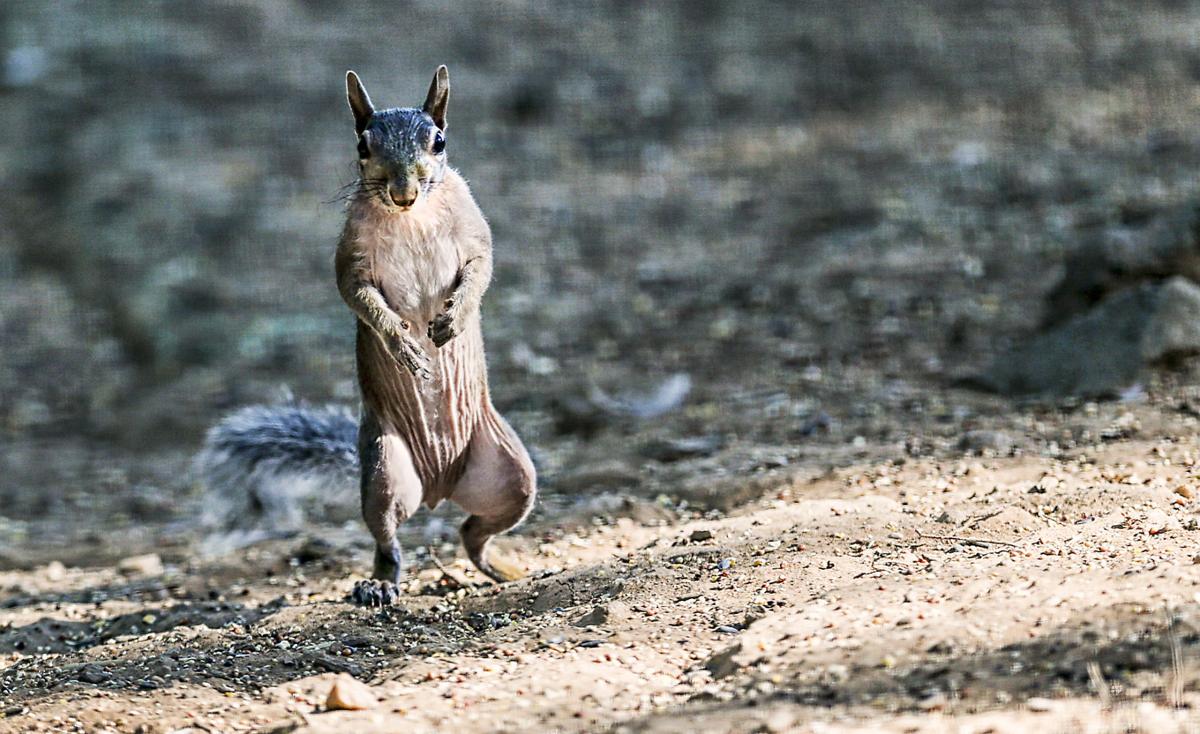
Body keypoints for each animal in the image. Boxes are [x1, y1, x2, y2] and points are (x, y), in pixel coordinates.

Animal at [196, 66, 536, 605]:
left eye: (439, 141)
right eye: (362, 144)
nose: (403, 191)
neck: (412, 218)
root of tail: (439, 487)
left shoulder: (473, 233)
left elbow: (480, 272)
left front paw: (453, 320)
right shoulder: (351, 257)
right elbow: (359, 297)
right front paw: (405, 348)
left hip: (515, 476)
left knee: (475, 532)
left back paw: (505, 568)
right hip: (383, 471)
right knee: (390, 542)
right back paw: (377, 586)